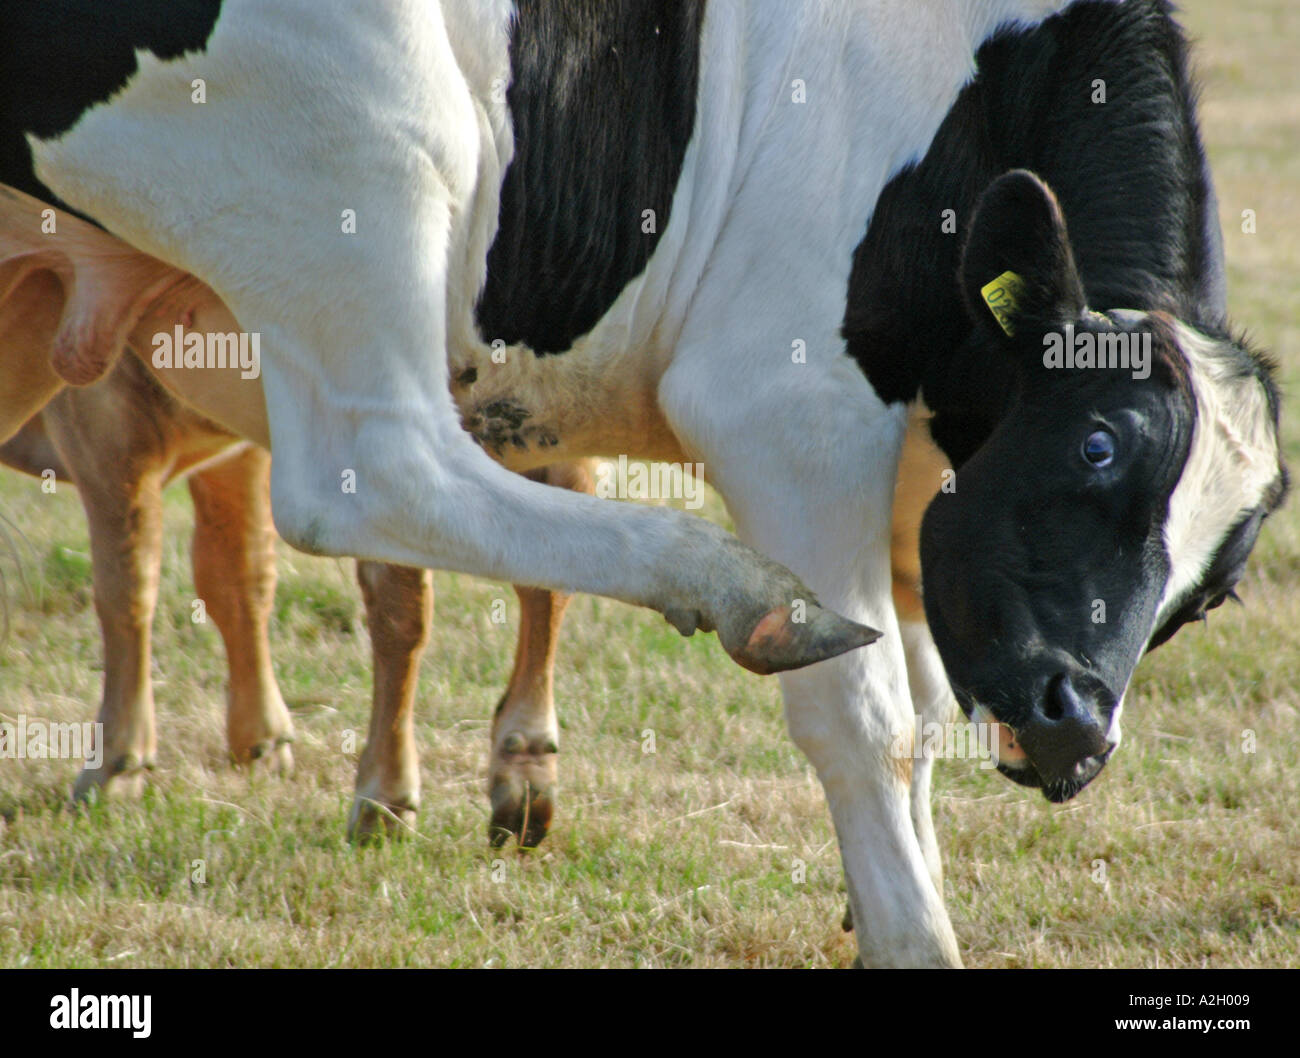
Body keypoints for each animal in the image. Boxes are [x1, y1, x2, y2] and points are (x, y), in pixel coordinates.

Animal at [0, 0, 1285, 967]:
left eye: (1211, 594)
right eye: (1095, 446)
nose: (1079, 730)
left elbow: (923, 708)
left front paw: (881, 895)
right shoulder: (785, 408)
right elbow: (870, 716)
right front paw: (912, 933)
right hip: (362, 153)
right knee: (371, 473)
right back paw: (734, 587)